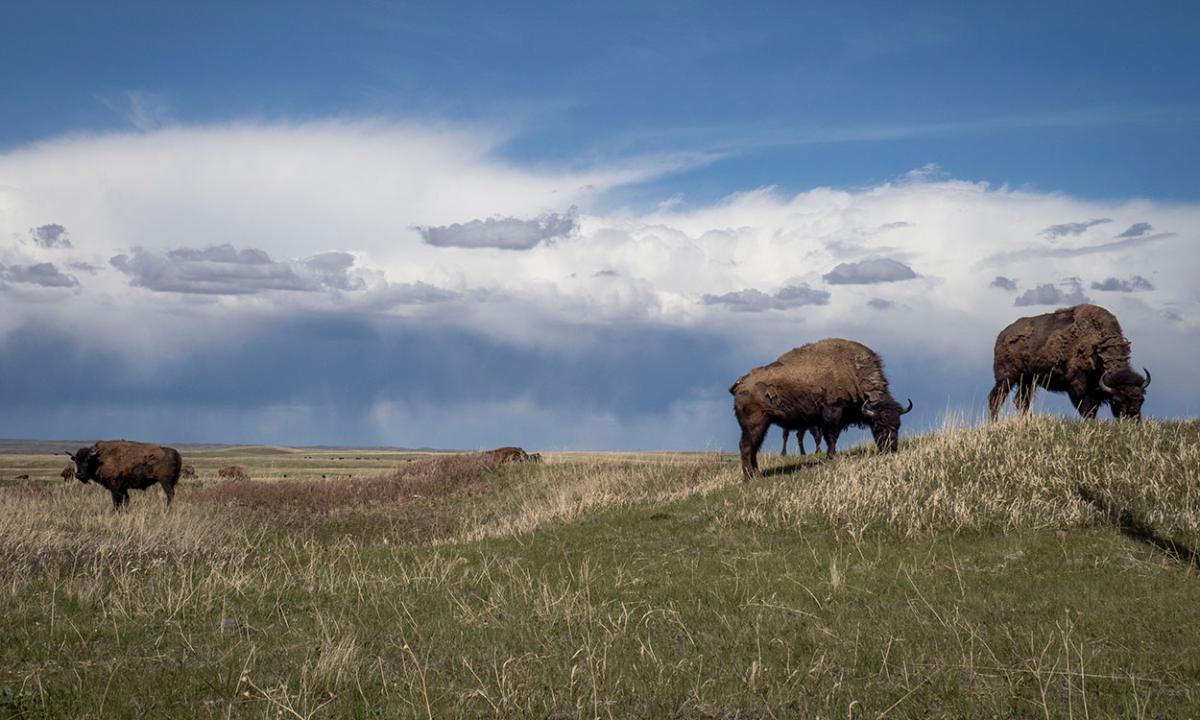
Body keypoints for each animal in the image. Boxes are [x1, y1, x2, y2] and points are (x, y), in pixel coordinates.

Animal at [731, 338, 912, 479]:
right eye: (878, 426)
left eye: (898, 425)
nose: (891, 449)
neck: (852, 369)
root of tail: (741, 384)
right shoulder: (832, 413)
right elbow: (831, 436)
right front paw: (831, 456)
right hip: (755, 424)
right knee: (746, 446)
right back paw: (749, 477)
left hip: (762, 425)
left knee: (754, 448)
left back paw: (757, 474)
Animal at [988, 304, 1150, 421]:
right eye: (1116, 400)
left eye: (1141, 399)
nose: (1133, 419)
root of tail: (1002, 335)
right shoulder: (1077, 385)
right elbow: (1088, 409)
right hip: (1007, 377)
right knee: (996, 398)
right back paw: (994, 422)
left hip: (1028, 381)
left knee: (1021, 402)